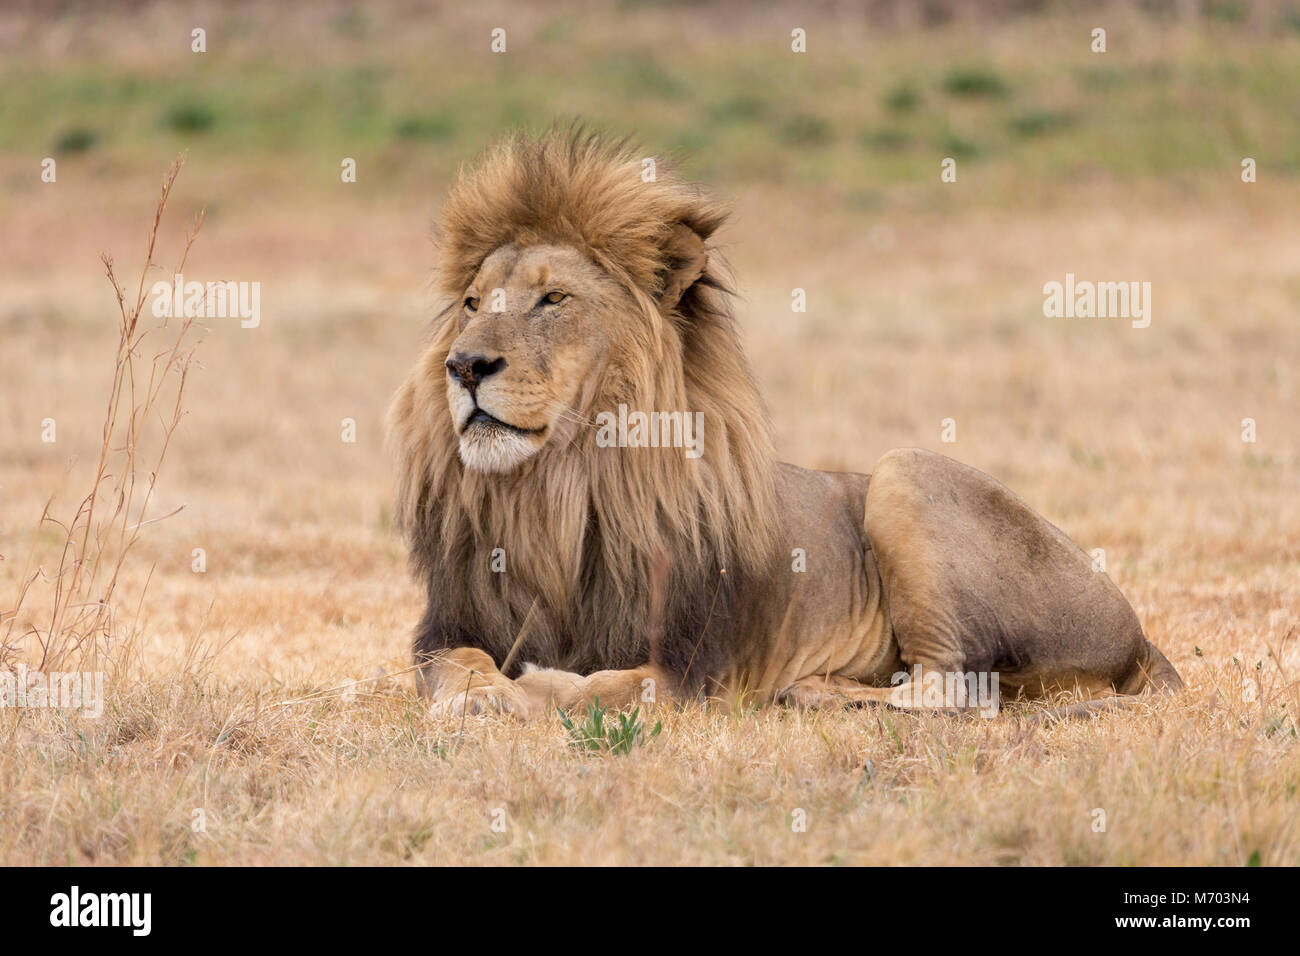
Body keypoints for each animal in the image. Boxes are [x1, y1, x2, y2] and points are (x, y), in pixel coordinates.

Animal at [386, 128, 1182, 720]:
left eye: (552, 299)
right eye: (472, 302)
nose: (464, 366)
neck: (558, 489)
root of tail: (1142, 638)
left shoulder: (691, 661)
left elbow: (614, 686)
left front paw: (532, 688)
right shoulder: (446, 627)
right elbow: (454, 666)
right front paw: (480, 693)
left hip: (905, 469)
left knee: (962, 692)